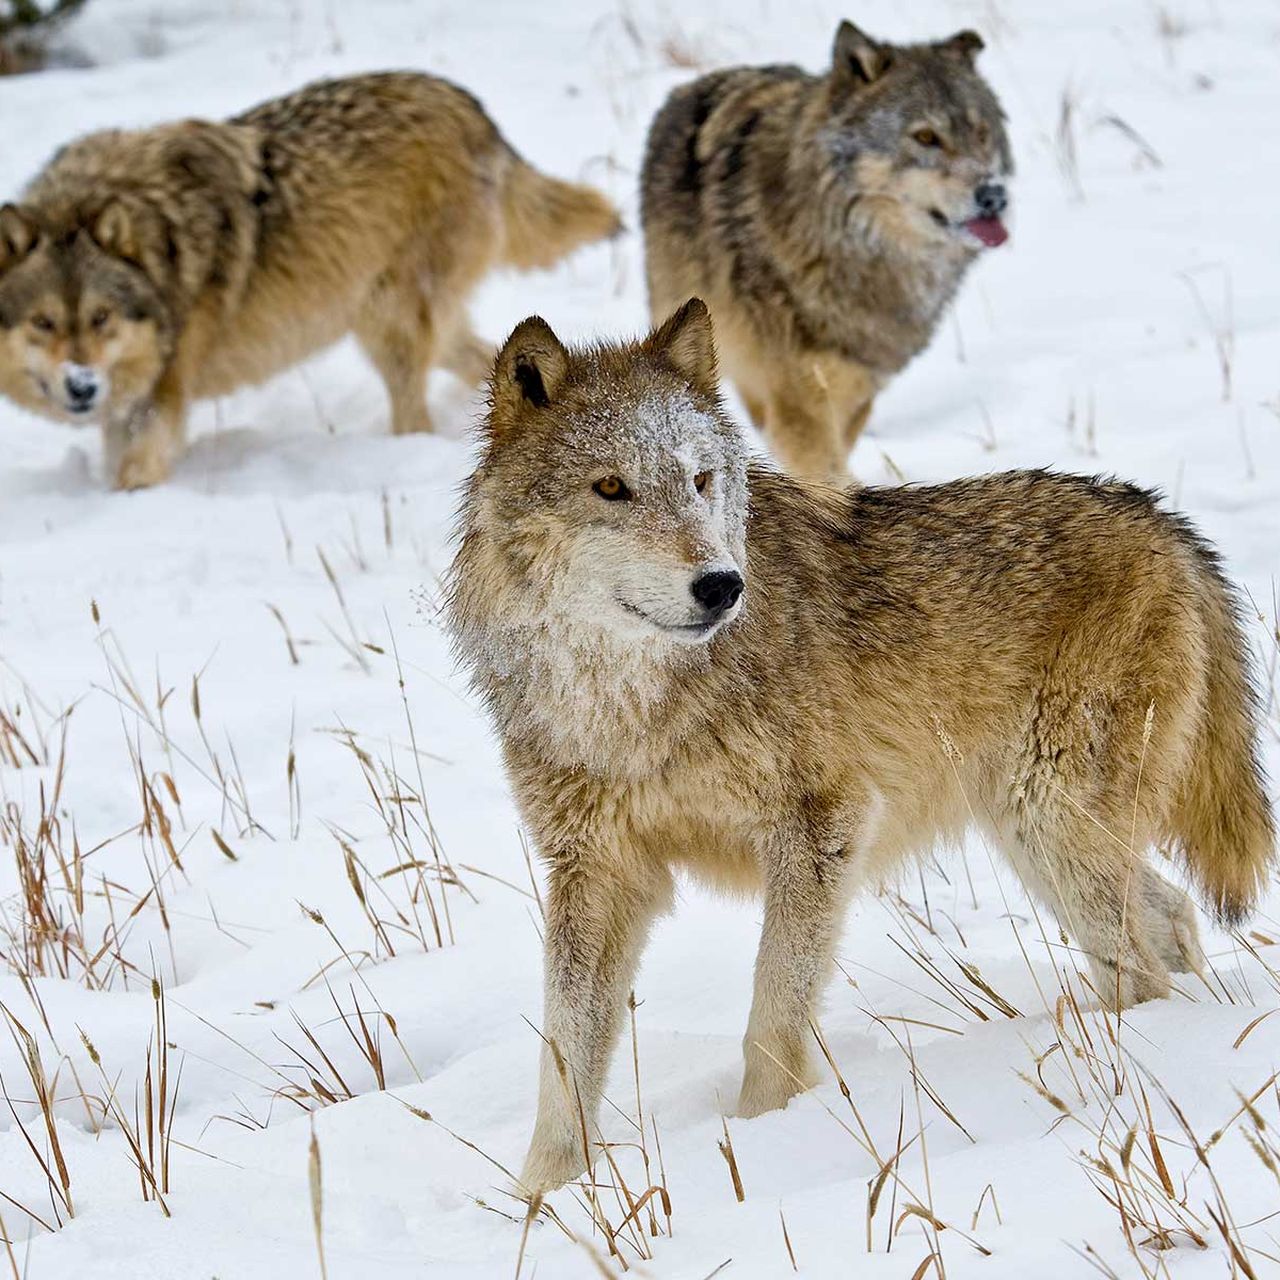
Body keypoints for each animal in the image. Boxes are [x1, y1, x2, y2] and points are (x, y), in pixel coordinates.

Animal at [0, 72, 619, 489]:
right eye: (43, 322)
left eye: (101, 318)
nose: (82, 387)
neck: (161, 246)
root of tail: (472, 109)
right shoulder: (125, 407)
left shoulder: (160, 400)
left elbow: (134, 475)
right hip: (405, 327)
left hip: (389, 327)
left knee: (414, 411)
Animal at [448, 299, 1275, 1195]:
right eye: (611, 487)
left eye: (700, 481)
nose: (721, 586)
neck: (634, 707)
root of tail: (1162, 517)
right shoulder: (597, 871)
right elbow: (562, 1059)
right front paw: (546, 1200)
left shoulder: (823, 826)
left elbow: (772, 1020)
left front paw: (764, 1143)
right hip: (1039, 838)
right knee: (1171, 917)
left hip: (1050, 822)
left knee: (1143, 957)